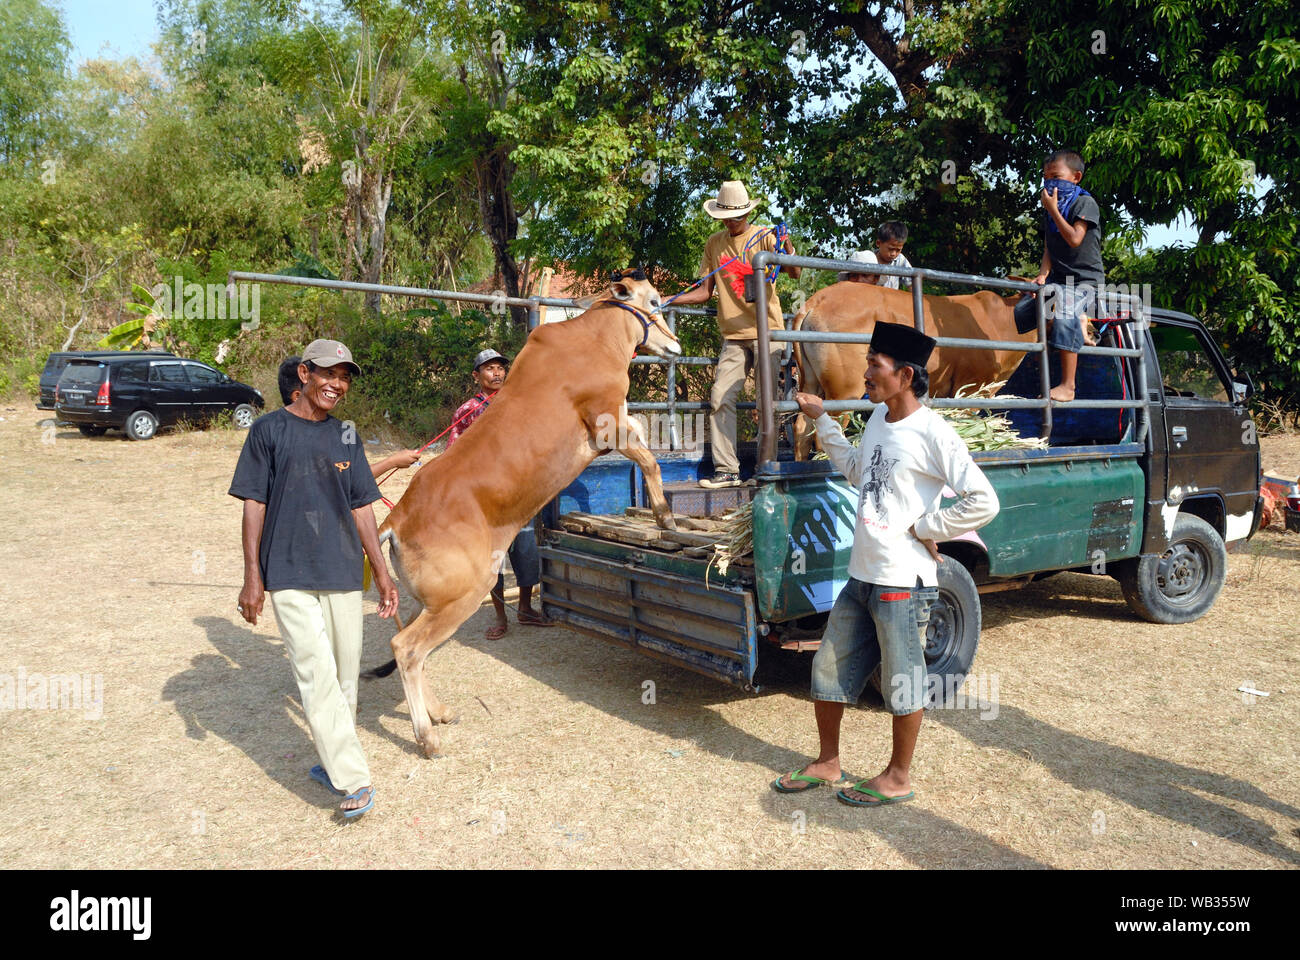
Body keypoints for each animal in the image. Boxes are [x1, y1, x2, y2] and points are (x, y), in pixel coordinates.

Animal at [377, 274, 681, 757]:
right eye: (653, 301)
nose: (675, 343)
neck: (593, 339)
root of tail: (396, 521)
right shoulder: (608, 424)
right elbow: (650, 463)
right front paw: (665, 520)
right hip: (462, 594)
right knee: (406, 648)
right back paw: (427, 737)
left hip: (434, 601)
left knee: (417, 652)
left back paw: (440, 712)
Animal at [792, 281, 1040, 459]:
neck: (1001, 322)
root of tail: (817, 300)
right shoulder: (970, 388)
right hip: (844, 393)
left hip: (811, 383)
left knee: (802, 428)